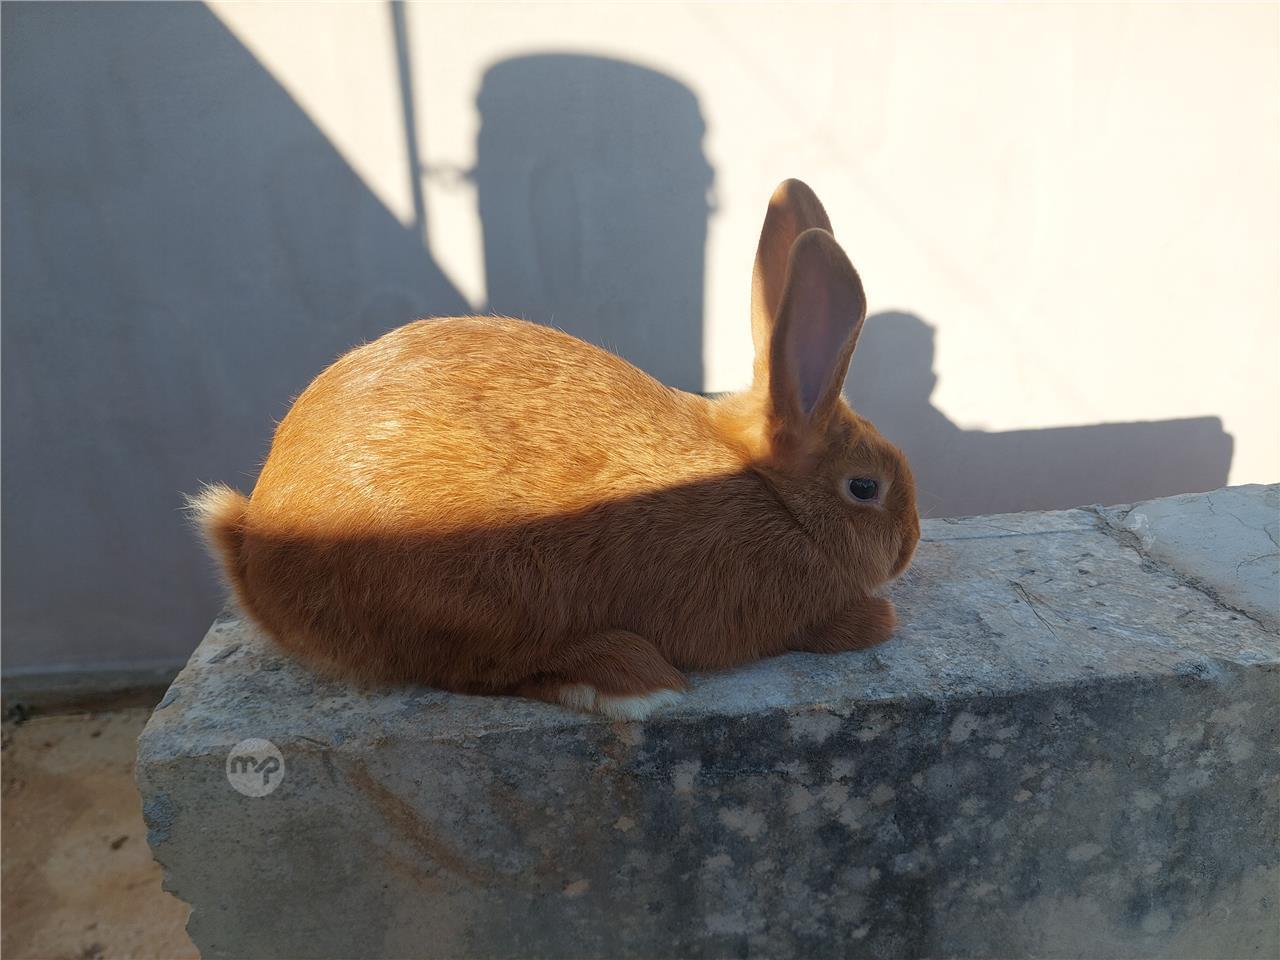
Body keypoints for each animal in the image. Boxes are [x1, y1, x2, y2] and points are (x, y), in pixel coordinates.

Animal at [191, 179, 920, 720]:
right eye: (865, 487)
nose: (910, 546)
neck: (769, 493)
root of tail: (254, 553)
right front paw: (876, 617)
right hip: (480, 591)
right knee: (481, 670)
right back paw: (627, 680)